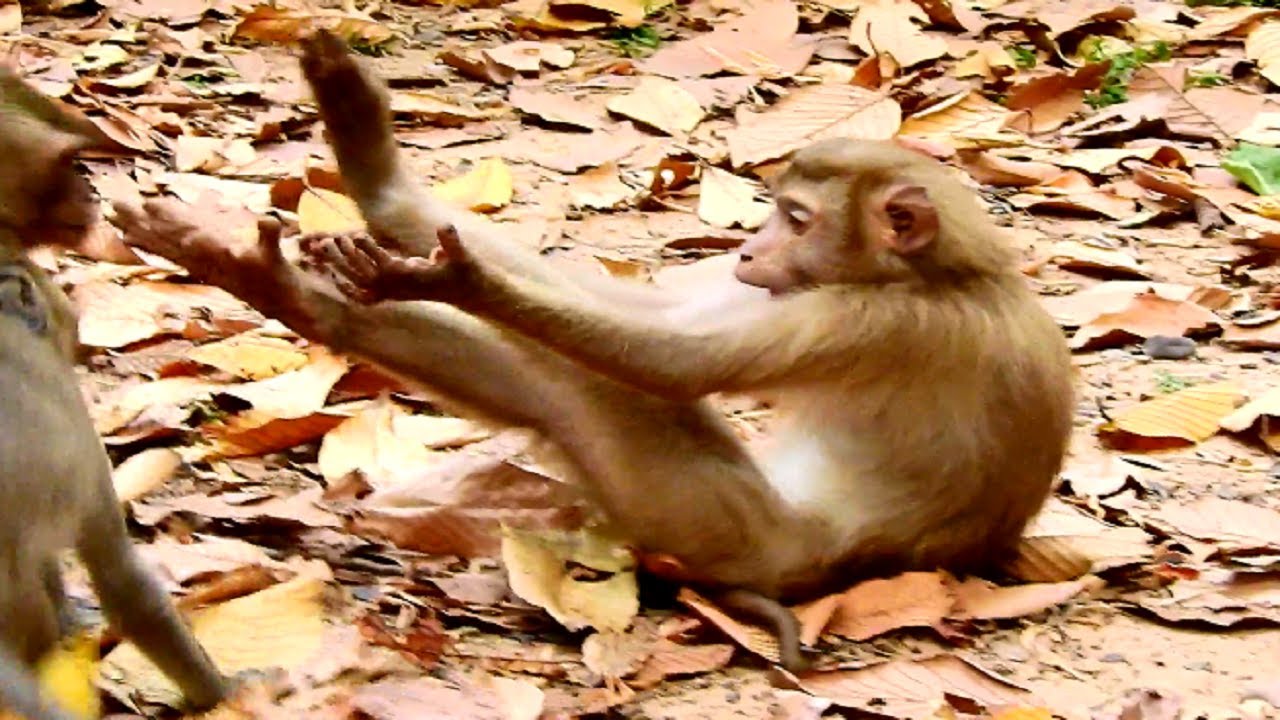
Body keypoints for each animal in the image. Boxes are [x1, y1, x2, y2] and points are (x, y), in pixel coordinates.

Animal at [112, 31, 1075, 673]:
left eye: (796, 219)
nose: (749, 251)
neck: (957, 273)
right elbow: (647, 313)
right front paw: (378, 180)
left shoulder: (871, 320)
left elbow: (672, 362)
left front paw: (459, 280)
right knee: (553, 392)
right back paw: (262, 280)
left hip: (720, 526)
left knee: (608, 398)